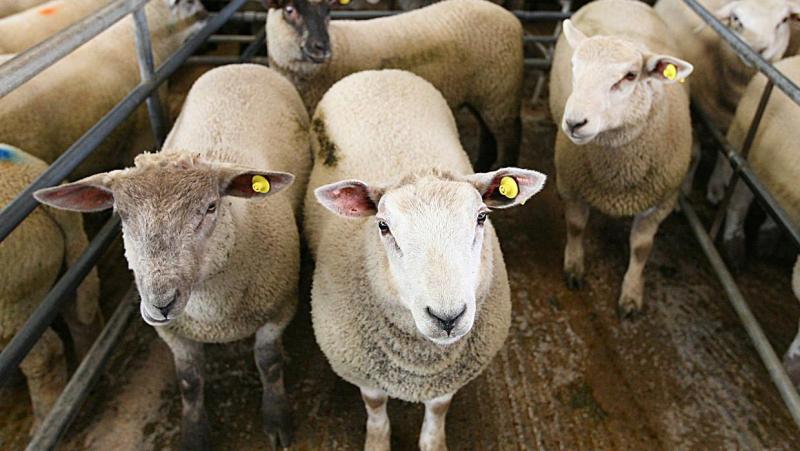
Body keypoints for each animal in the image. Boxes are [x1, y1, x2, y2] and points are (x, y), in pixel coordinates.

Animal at [34, 64, 311, 450]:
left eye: (210, 207)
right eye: (121, 214)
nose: (159, 303)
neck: (214, 314)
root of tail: (239, 65)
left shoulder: (280, 307)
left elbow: (268, 363)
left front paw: (276, 417)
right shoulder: (174, 334)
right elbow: (188, 381)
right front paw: (194, 434)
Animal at [265, 0, 524, 170]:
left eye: (328, 9)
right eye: (290, 10)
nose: (322, 47)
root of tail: (511, 18)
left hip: (501, 91)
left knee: (509, 137)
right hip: (484, 93)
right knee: (487, 133)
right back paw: (481, 165)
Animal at [306, 69, 546, 450]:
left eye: (481, 217)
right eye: (383, 226)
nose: (447, 317)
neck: (421, 365)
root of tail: (380, 71)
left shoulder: (447, 377)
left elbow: (438, 411)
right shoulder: (364, 371)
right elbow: (375, 408)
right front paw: (377, 442)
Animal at [549, 0, 694, 318]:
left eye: (629, 76)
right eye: (575, 67)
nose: (574, 123)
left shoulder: (660, 202)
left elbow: (641, 248)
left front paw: (631, 295)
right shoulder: (570, 184)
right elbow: (576, 227)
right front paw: (574, 267)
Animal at [653, 0, 800, 202]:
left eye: (783, 20)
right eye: (736, 18)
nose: (756, 48)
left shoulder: (735, 129)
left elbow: (725, 156)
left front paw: (716, 186)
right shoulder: (698, 115)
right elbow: (695, 152)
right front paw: (685, 188)